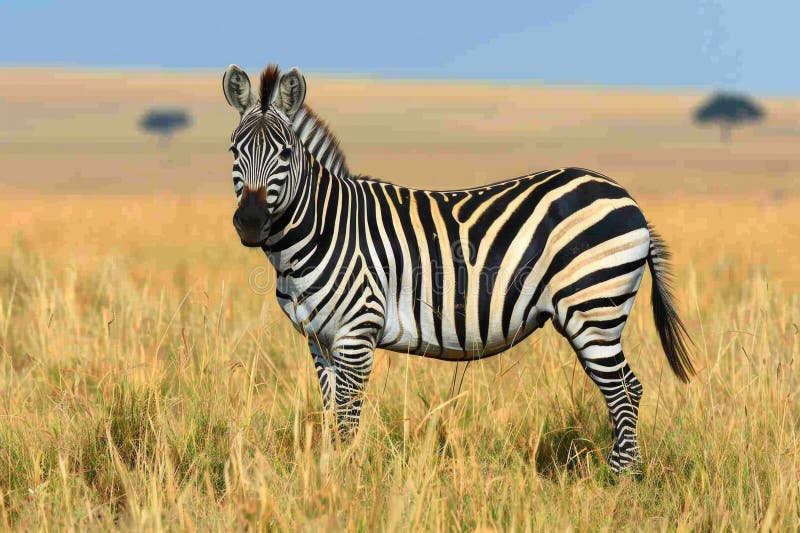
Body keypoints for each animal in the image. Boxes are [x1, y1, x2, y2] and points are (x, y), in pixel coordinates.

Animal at [221, 64, 695, 473]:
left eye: (284, 153)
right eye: (233, 150)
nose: (251, 222)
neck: (324, 227)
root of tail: (627, 198)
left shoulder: (357, 330)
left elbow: (347, 416)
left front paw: (346, 479)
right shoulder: (319, 339)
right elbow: (330, 412)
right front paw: (329, 472)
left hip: (594, 309)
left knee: (624, 392)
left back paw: (621, 479)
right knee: (628, 388)